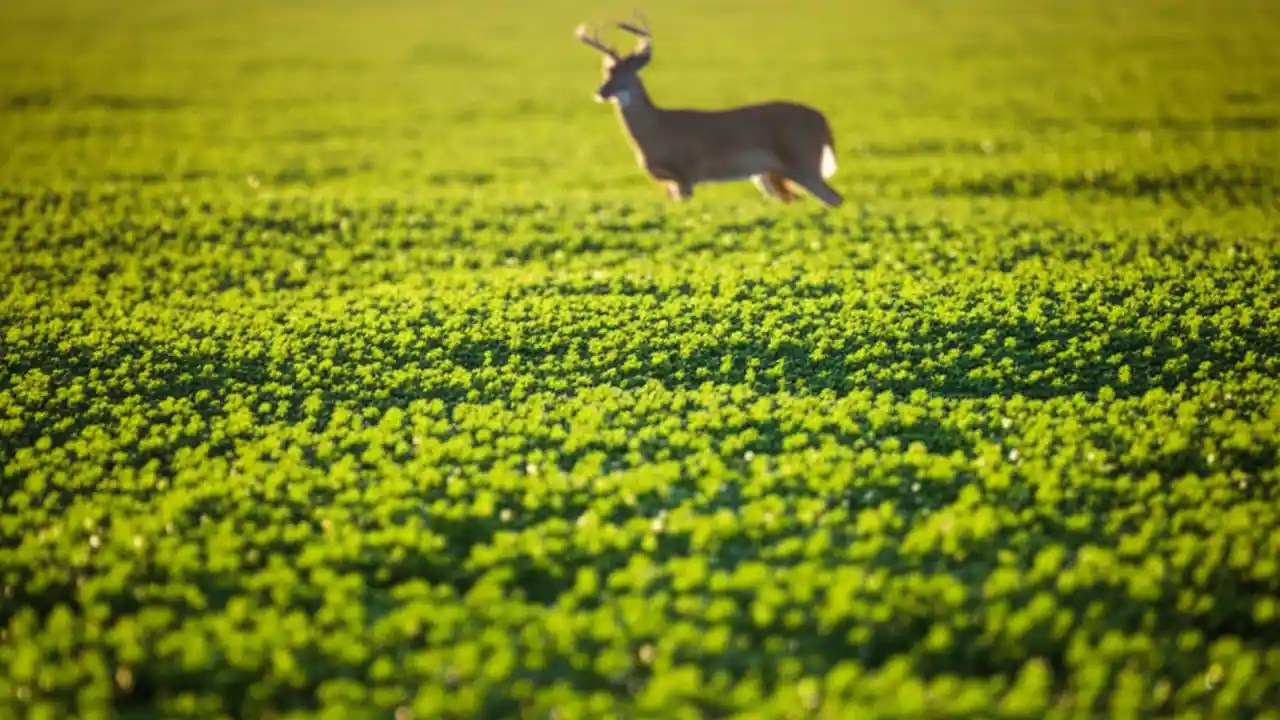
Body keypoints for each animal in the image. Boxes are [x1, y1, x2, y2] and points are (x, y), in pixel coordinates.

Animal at [575, 15, 843, 208]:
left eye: (627, 73)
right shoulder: (668, 183)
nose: (601, 92)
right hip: (771, 175)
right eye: (606, 71)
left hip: (802, 160)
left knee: (835, 199)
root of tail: (822, 119)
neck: (655, 129)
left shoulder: (685, 173)